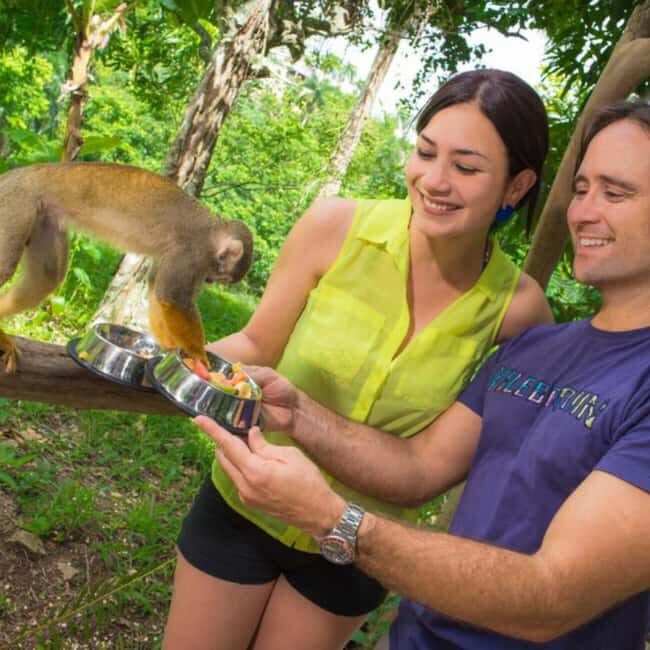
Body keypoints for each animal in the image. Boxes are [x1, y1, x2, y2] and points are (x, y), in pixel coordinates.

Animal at [0, 161, 253, 374]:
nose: (209, 281)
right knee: (8, 267)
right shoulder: (193, 253)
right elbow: (173, 299)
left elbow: (155, 288)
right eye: (220, 276)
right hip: (17, 203)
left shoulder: (177, 256)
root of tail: (13, 175)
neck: (213, 234)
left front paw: (169, 347)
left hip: (43, 216)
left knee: (47, 276)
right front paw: (198, 355)